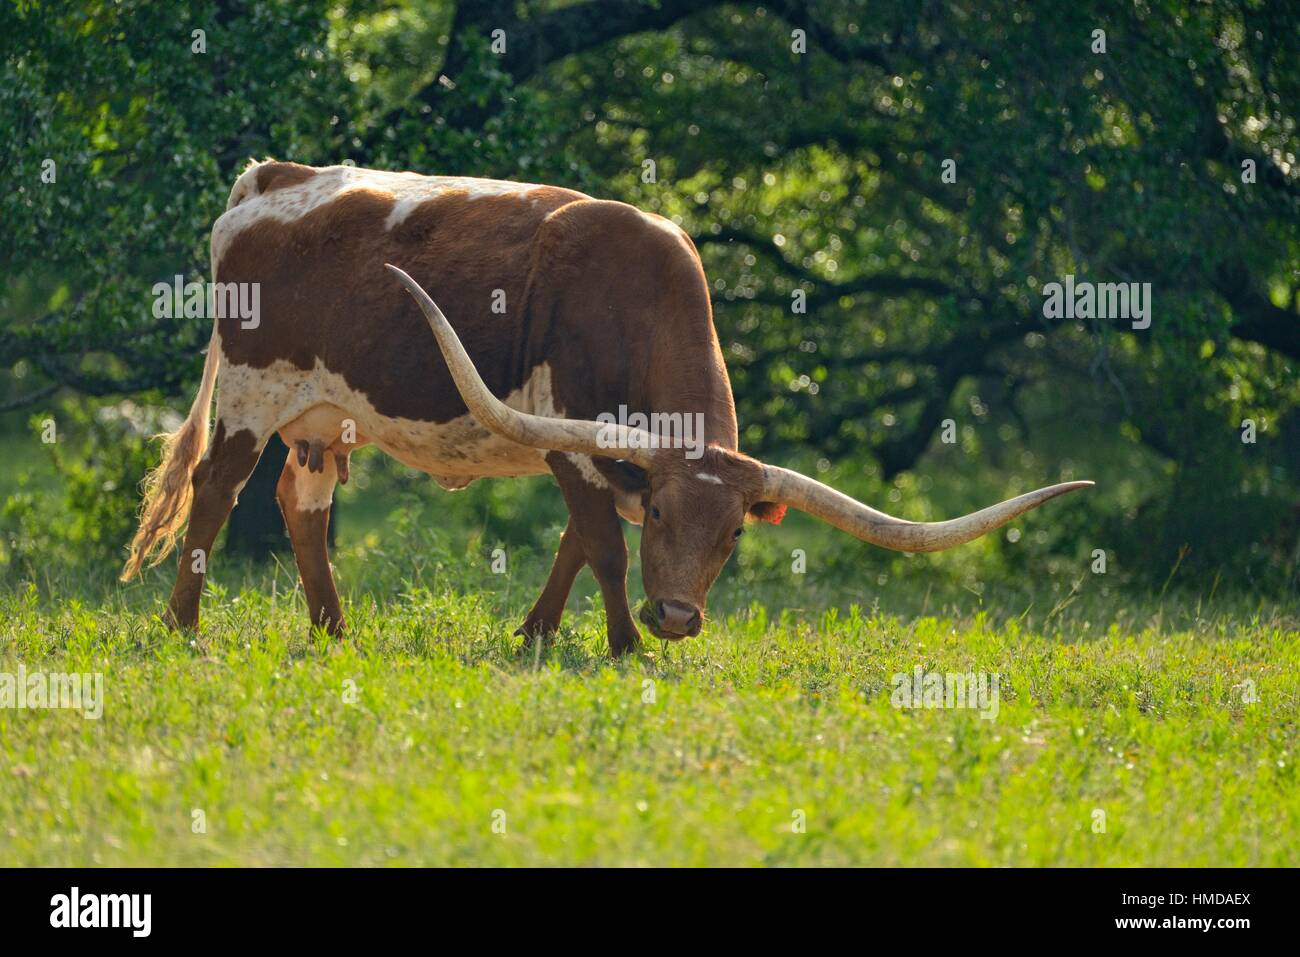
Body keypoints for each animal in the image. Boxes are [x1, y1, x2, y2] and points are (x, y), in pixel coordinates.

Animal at [121, 160, 1091, 656]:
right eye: (661, 513)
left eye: (734, 534)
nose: (680, 619)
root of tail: (271, 178)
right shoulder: (573, 437)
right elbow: (601, 545)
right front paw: (624, 644)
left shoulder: (600, 453)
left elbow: (573, 545)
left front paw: (536, 634)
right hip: (254, 391)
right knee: (216, 493)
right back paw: (183, 627)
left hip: (325, 417)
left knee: (303, 506)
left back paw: (334, 632)